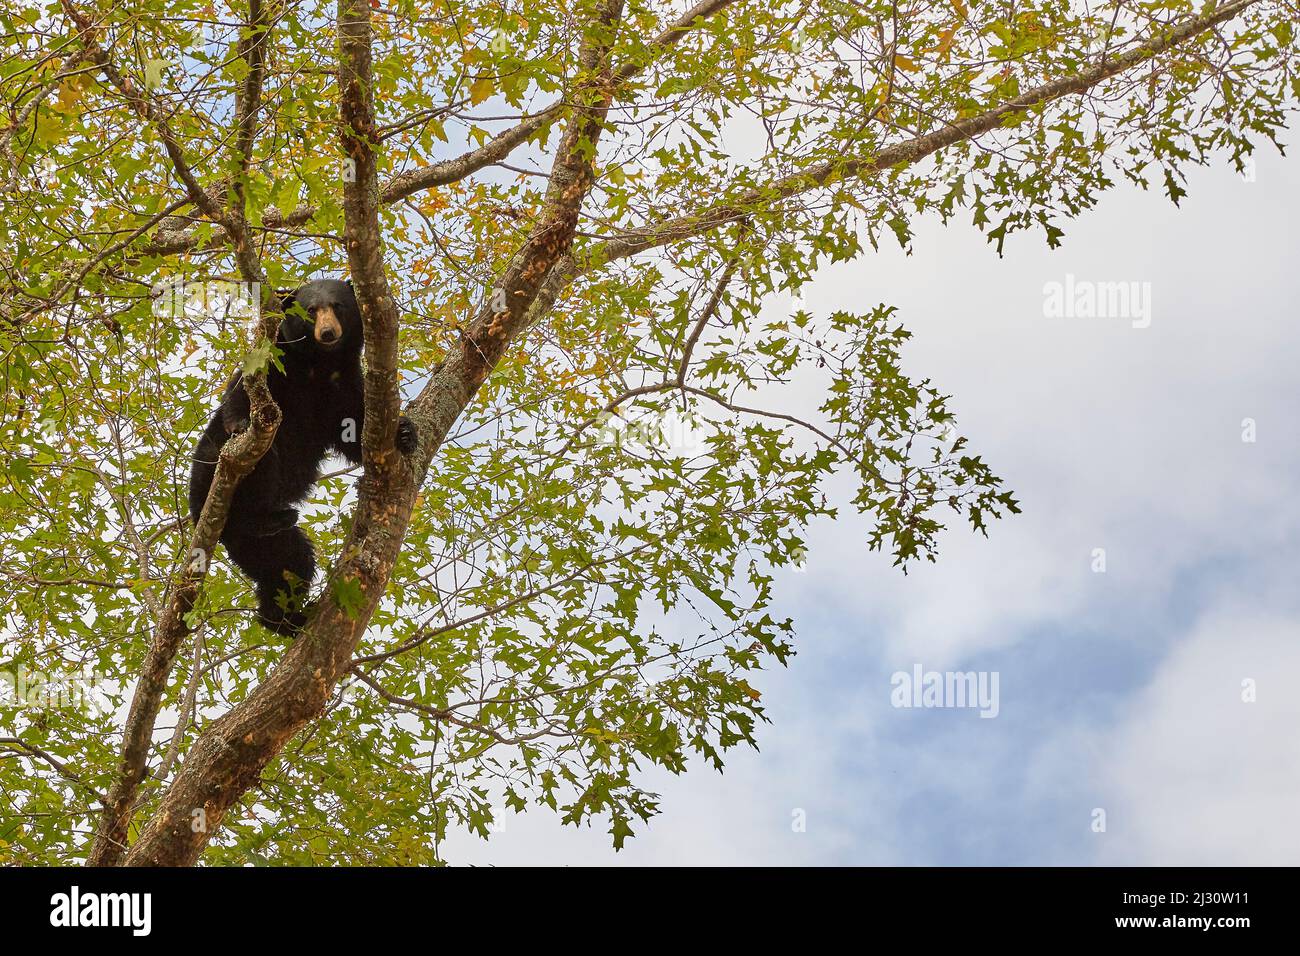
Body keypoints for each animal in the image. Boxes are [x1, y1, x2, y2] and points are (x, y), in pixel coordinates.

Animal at [188, 278, 418, 635]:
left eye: (338, 306)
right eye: (310, 310)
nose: (328, 332)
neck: (317, 365)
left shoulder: (343, 384)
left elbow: (355, 428)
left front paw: (405, 432)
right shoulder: (276, 364)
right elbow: (243, 390)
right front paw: (240, 422)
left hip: (267, 546)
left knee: (288, 565)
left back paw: (286, 617)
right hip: (215, 479)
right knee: (261, 467)